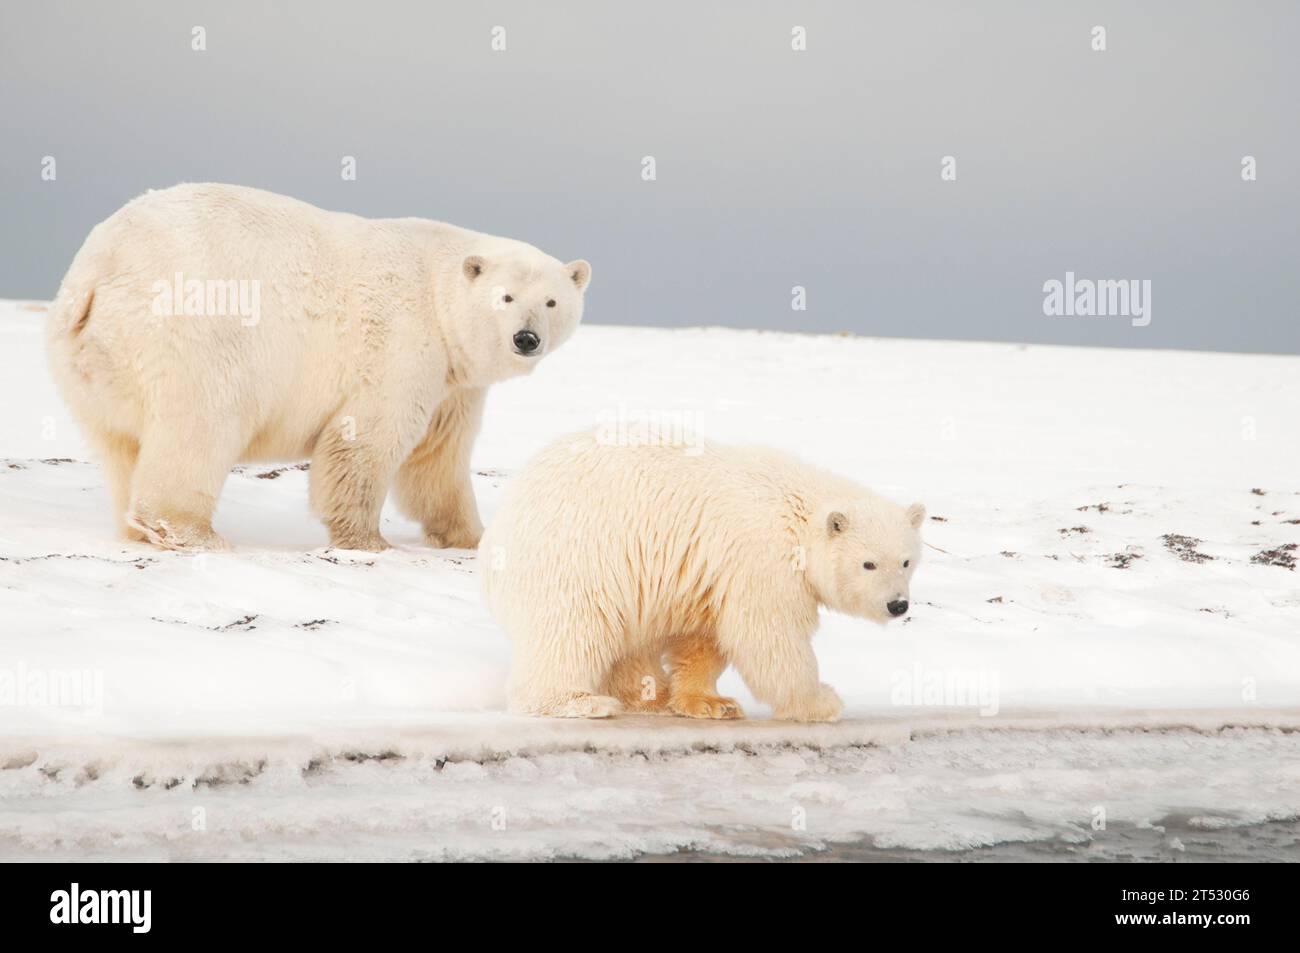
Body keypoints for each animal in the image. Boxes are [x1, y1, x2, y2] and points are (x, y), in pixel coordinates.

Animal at [45, 183, 590, 552]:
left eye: (551, 301)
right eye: (506, 297)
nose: (526, 338)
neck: (438, 293)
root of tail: (95, 271)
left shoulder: (453, 383)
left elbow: (438, 459)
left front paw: (471, 536)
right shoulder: (401, 343)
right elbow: (368, 440)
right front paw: (369, 541)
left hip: (93, 362)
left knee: (119, 445)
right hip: (193, 336)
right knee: (203, 425)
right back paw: (193, 531)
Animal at [480, 431, 925, 722]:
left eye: (906, 561)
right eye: (869, 563)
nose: (897, 604)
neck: (796, 511)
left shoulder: (712, 570)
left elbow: (704, 638)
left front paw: (711, 703)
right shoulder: (760, 557)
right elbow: (769, 635)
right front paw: (822, 701)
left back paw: (650, 694)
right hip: (577, 559)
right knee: (572, 629)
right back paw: (578, 702)